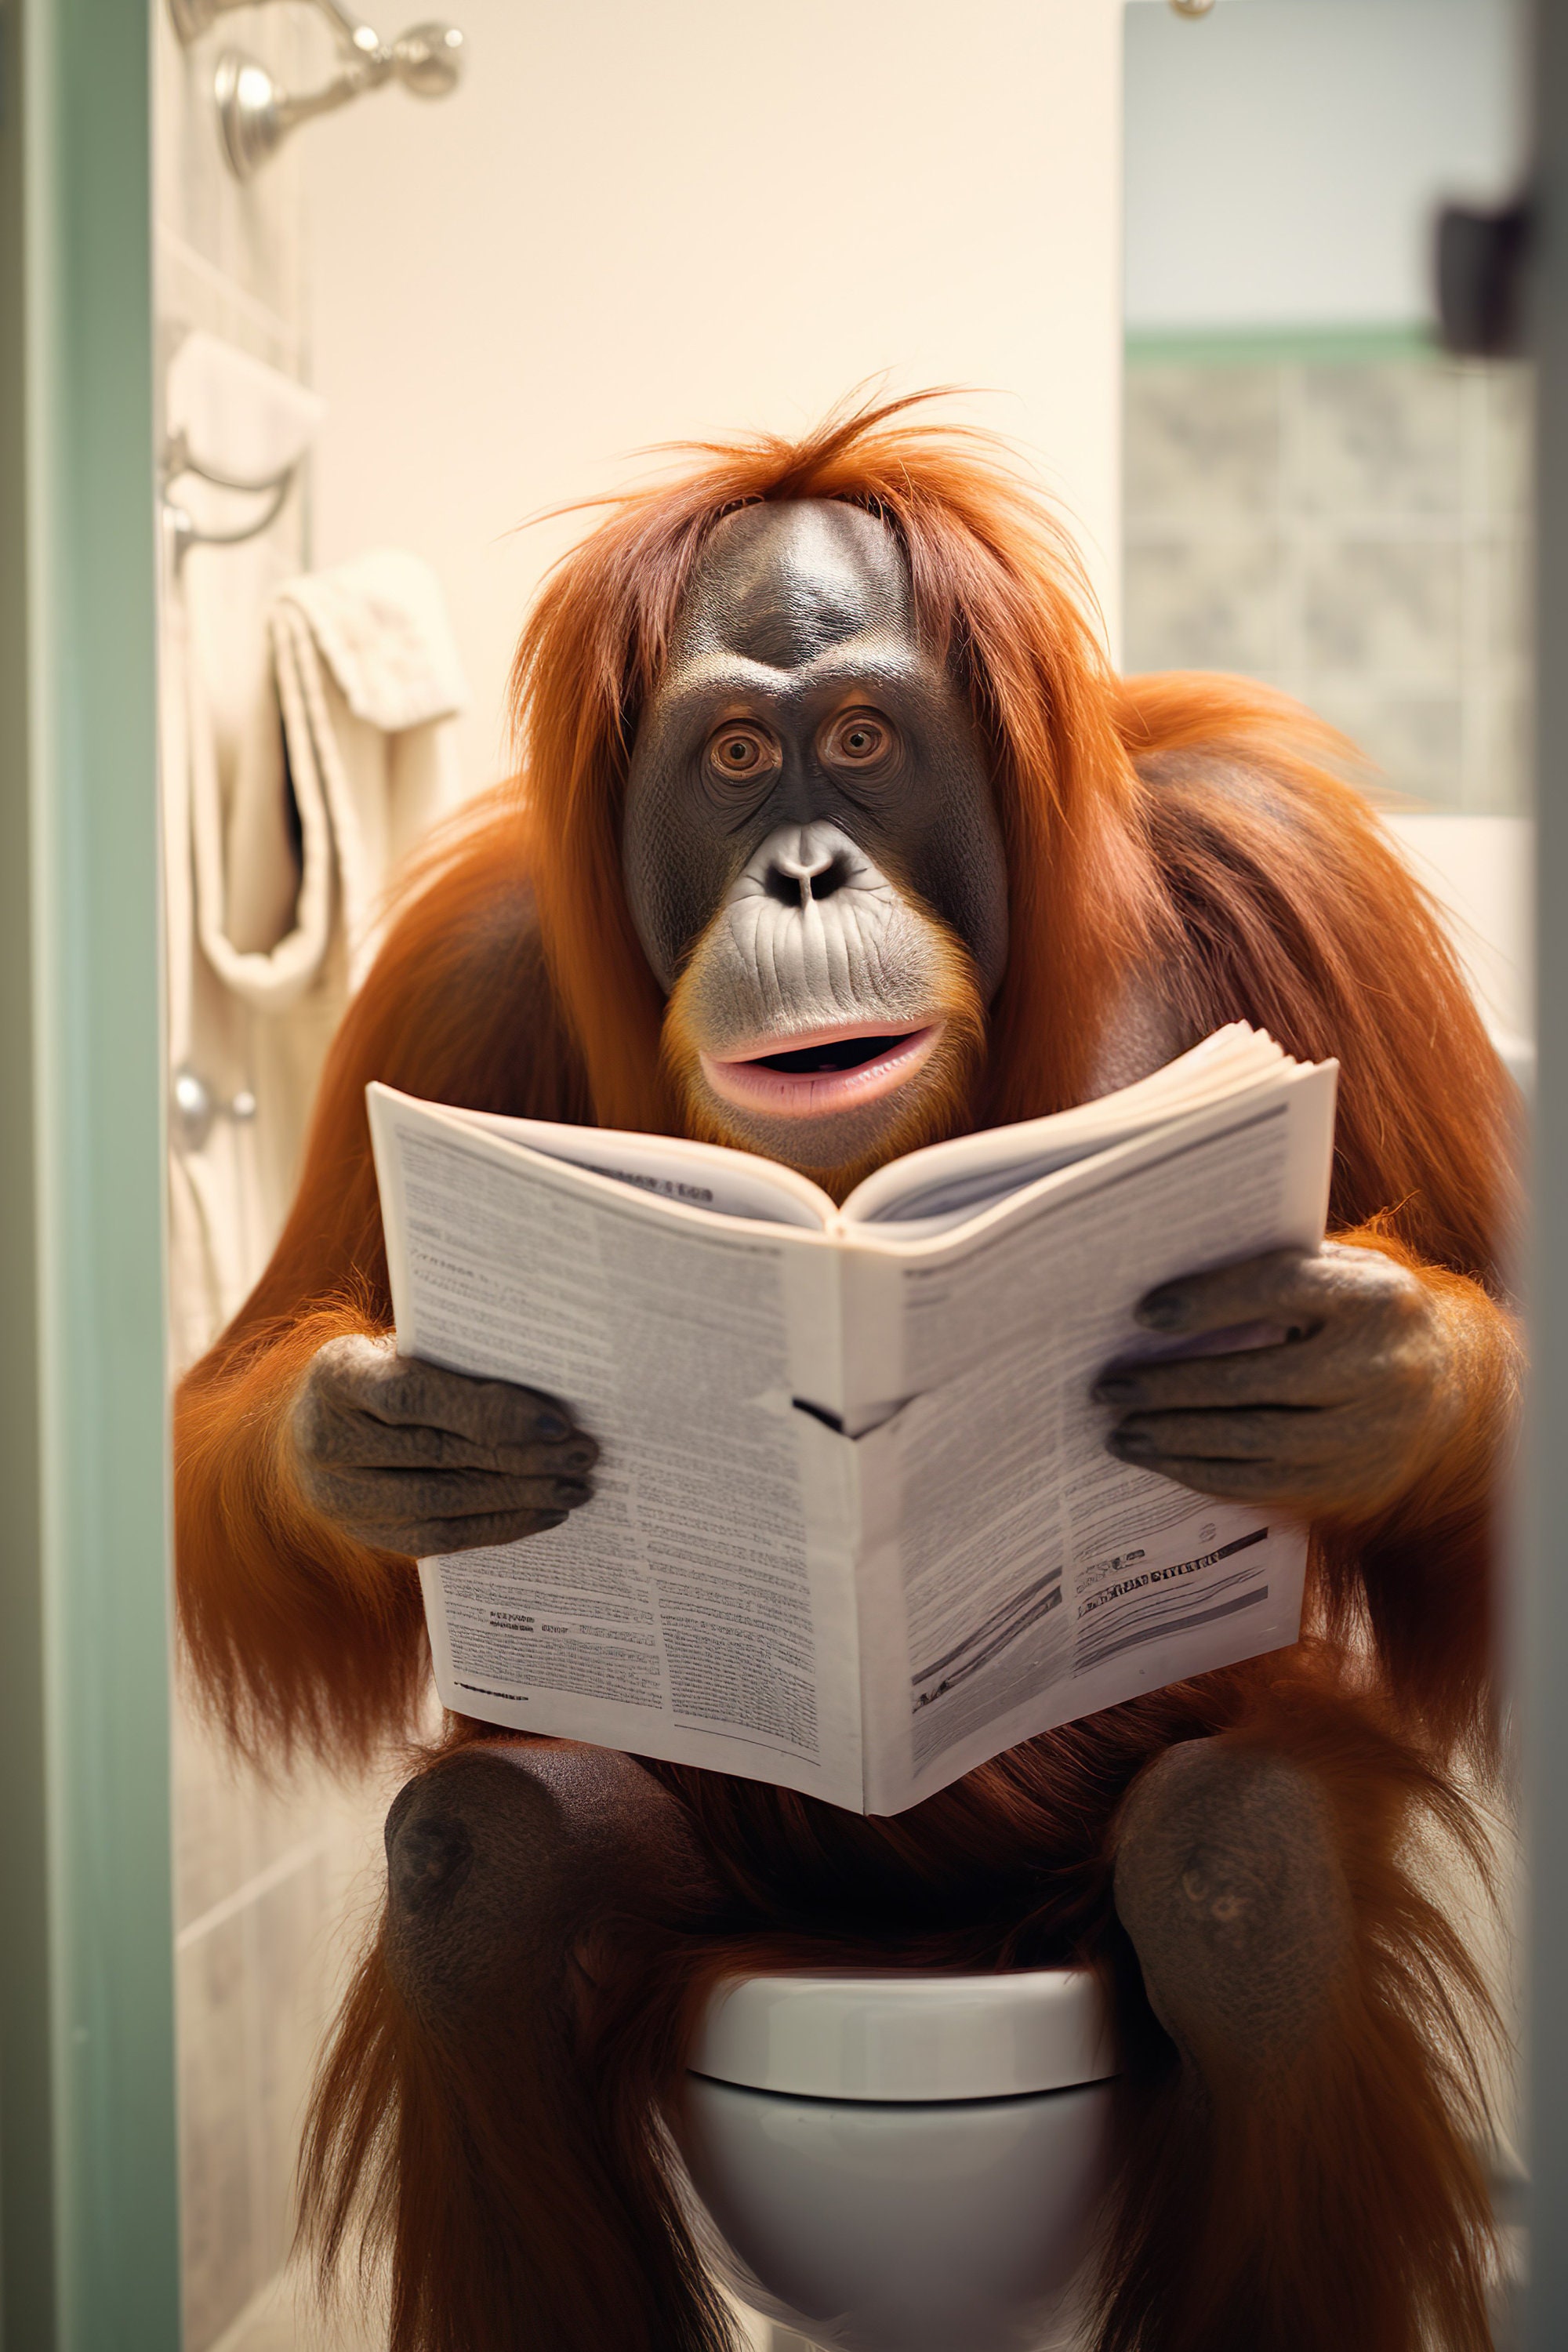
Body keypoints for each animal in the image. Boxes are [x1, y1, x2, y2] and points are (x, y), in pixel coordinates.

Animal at [176, 399, 1519, 2352]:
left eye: (866, 741)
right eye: (739, 754)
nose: (803, 871)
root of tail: (913, 1949)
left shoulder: (1290, 855)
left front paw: (1363, 1373)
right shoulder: (457, 964)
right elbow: (243, 1398)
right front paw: (377, 1433)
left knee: (1248, 1871)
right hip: (758, 1917)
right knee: (479, 1873)